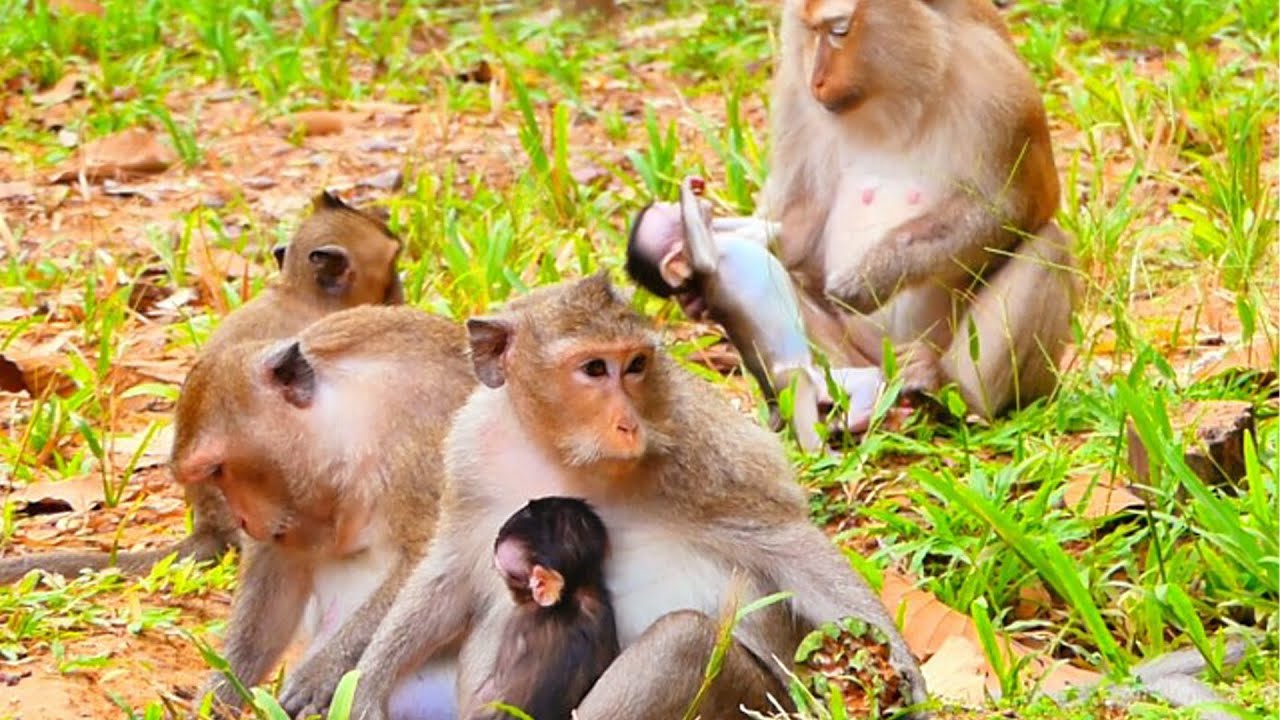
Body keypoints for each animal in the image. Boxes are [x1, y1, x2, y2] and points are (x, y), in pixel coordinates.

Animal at [181, 305, 476, 717]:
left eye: (217, 470)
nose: (241, 519)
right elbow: (277, 579)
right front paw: (221, 695)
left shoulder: (423, 448)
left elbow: (436, 563)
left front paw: (320, 672)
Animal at [626, 176, 888, 451]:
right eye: (673, 212)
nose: (677, 203)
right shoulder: (704, 268)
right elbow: (706, 261)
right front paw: (687, 192)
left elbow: (766, 228)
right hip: (791, 382)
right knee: (804, 417)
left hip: (823, 379)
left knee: (867, 378)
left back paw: (857, 417)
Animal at [752, 0, 1077, 420]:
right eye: (810, 32)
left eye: (839, 31)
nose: (817, 80)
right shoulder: (794, 89)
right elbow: (797, 216)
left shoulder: (1001, 88)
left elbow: (1018, 206)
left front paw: (876, 272)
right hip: (861, 358)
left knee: (1047, 246)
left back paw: (948, 390)